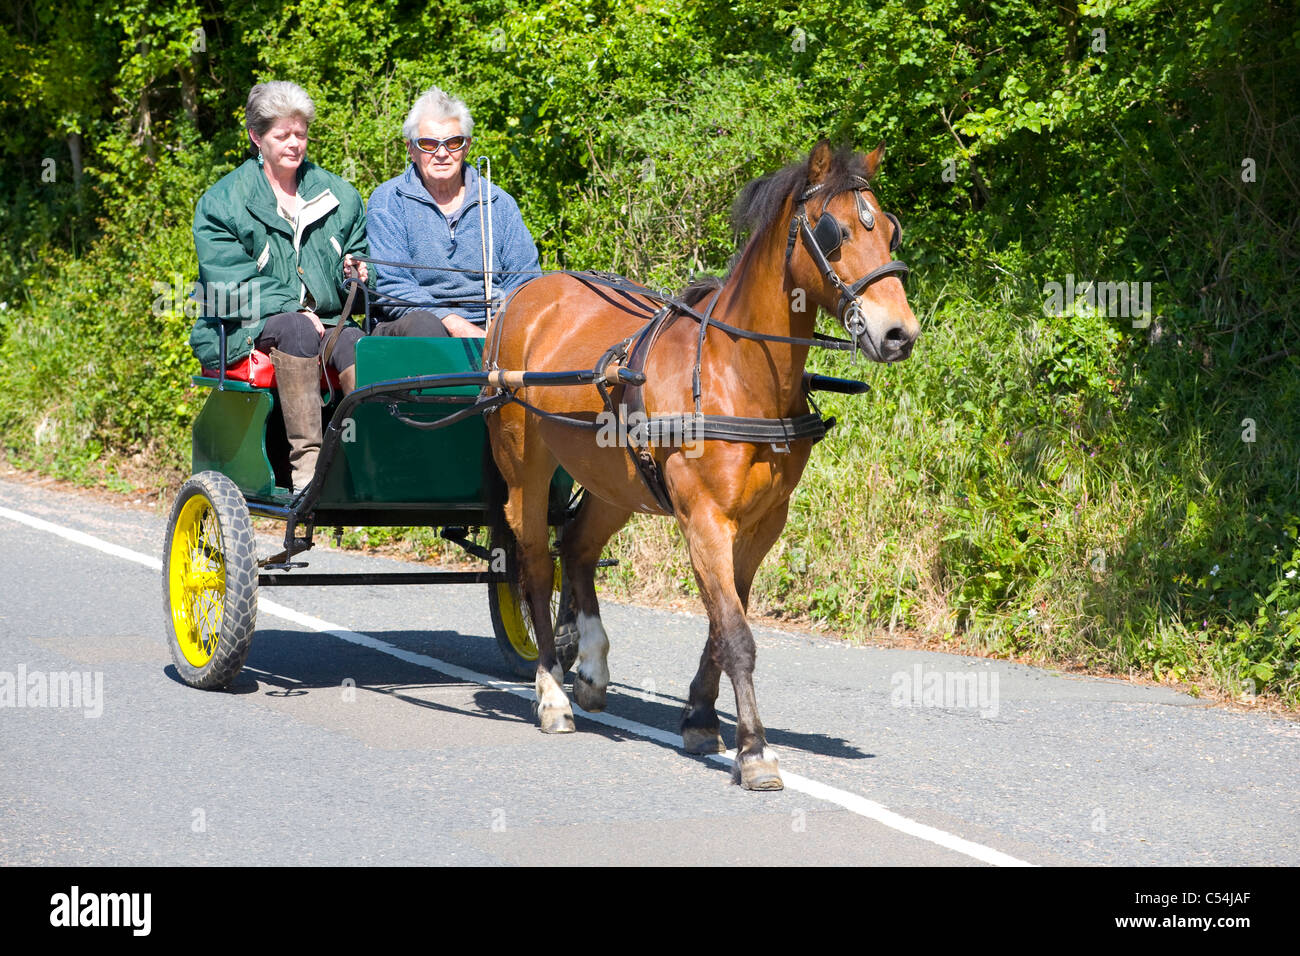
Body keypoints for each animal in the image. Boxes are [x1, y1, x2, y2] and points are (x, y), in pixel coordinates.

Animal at [484, 139, 919, 790]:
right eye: (834, 232)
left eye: (890, 230)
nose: (899, 334)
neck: (737, 372)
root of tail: (522, 298)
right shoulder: (705, 519)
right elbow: (736, 633)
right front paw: (754, 750)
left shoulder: (762, 524)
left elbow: (722, 623)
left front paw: (699, 717)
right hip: (524, 471)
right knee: (536, 564)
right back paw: (552, 692)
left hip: (612, 482)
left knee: (578, 547)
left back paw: (589, 665)